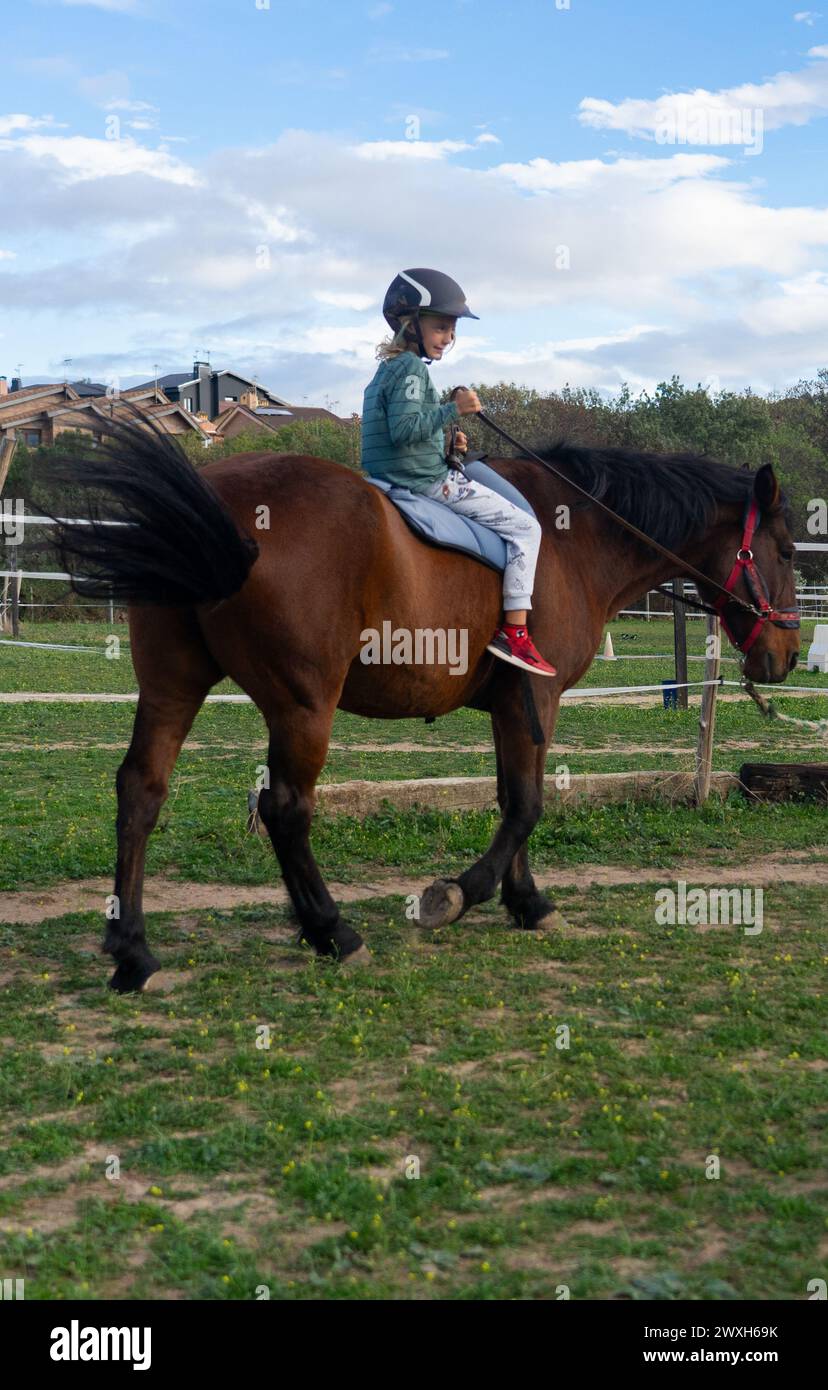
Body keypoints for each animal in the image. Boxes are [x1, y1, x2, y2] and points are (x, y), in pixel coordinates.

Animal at [46, 413, 800, 992]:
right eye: (791, 550)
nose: (788, 656)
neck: (572, 536)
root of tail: (224, 502)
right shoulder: (538, 698)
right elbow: (527, 806)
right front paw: (460, 895)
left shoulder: (513, 708)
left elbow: (512, 798)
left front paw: (526, 901)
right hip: (302, 705)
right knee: (285, 809)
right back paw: (332, 931)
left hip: (173, 685)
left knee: (141, 791)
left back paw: (134, 952)